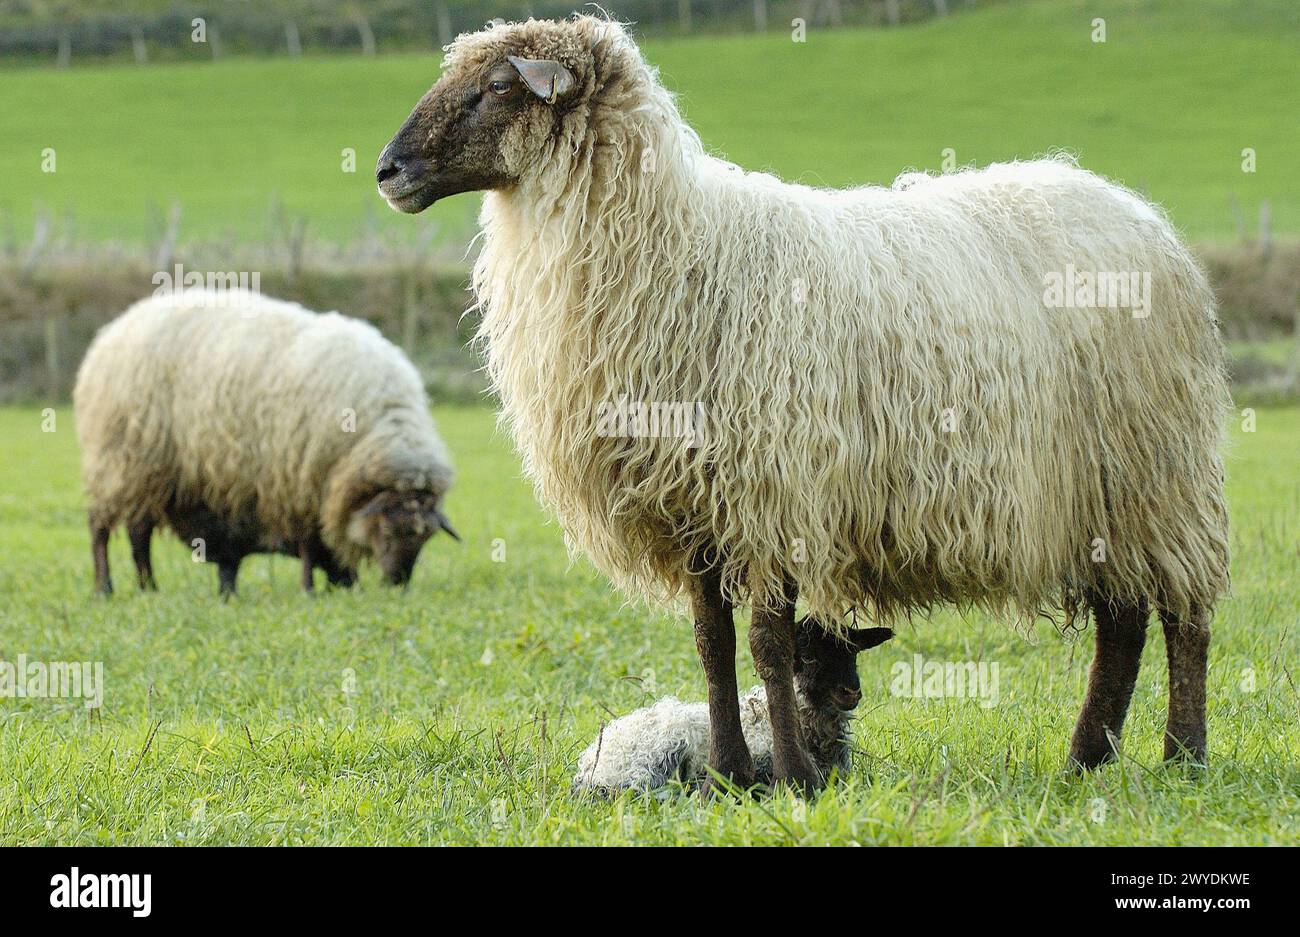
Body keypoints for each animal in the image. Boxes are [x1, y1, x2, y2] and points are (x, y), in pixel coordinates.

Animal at [74, 289, 459, 596]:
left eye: (425, 538)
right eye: (388, 531)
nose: (398, 584)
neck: (377, 426)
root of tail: (116, 327)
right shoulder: (302, 482)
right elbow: (309, 543)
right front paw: (309, 589)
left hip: (149, 473)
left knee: (138, 532)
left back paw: (148, 588)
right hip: (121, 460)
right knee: (100, 527)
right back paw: (105, 588)